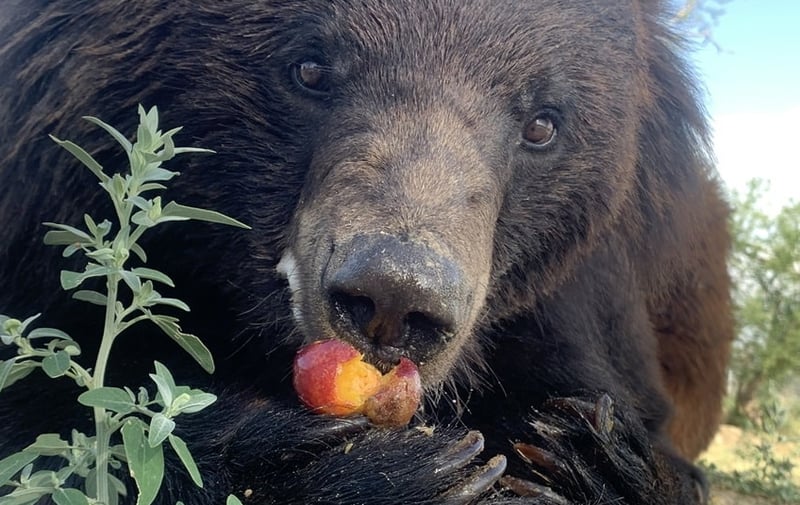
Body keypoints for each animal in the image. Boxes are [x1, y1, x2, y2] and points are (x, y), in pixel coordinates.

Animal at [0, 1, 733, 504]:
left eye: (543, 124)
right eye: (308, 67)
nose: (395, 299)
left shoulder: (583, 302)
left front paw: (583, 456)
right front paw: (395, 469)